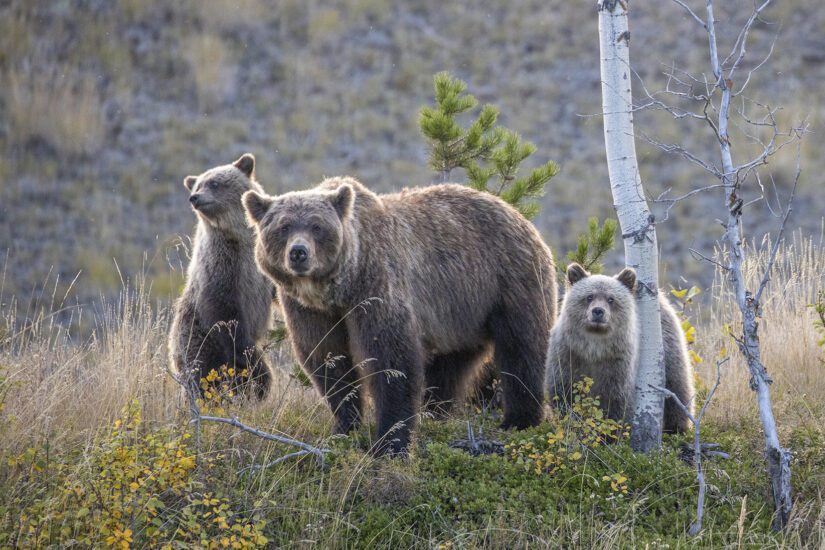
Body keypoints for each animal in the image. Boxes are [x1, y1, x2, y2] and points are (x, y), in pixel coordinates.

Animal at [168, 154, 274, 400]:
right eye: (197, 185)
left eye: (214, 183)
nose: (194, 197)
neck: (238, 237)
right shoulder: (221, 265)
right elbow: (225, 312)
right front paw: (257, 371)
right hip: (196, 342)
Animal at [242, 177, 557, 455]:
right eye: (283, 226)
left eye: (317, 226)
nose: (298, 253)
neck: (339, 290)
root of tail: (518, 214)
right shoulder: (310, 311)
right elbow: (329, 361)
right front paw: (344, 426)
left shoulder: (376, 288)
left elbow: (392, 362)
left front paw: (390, 442)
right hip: (460, 313)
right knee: (450, 366)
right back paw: (435, 412)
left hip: (506, 281)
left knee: (522, 348)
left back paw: (519, 420)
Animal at [545, 263, 694, 433]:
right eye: (589, 296)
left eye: (611, 299)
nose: (598, 311)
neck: (594, 349)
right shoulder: (568, 356)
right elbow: (564, 393)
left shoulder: (617, 365)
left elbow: (616, 401)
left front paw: (610, 431)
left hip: (668, 349)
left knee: (677, 387)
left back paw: (677, 427)